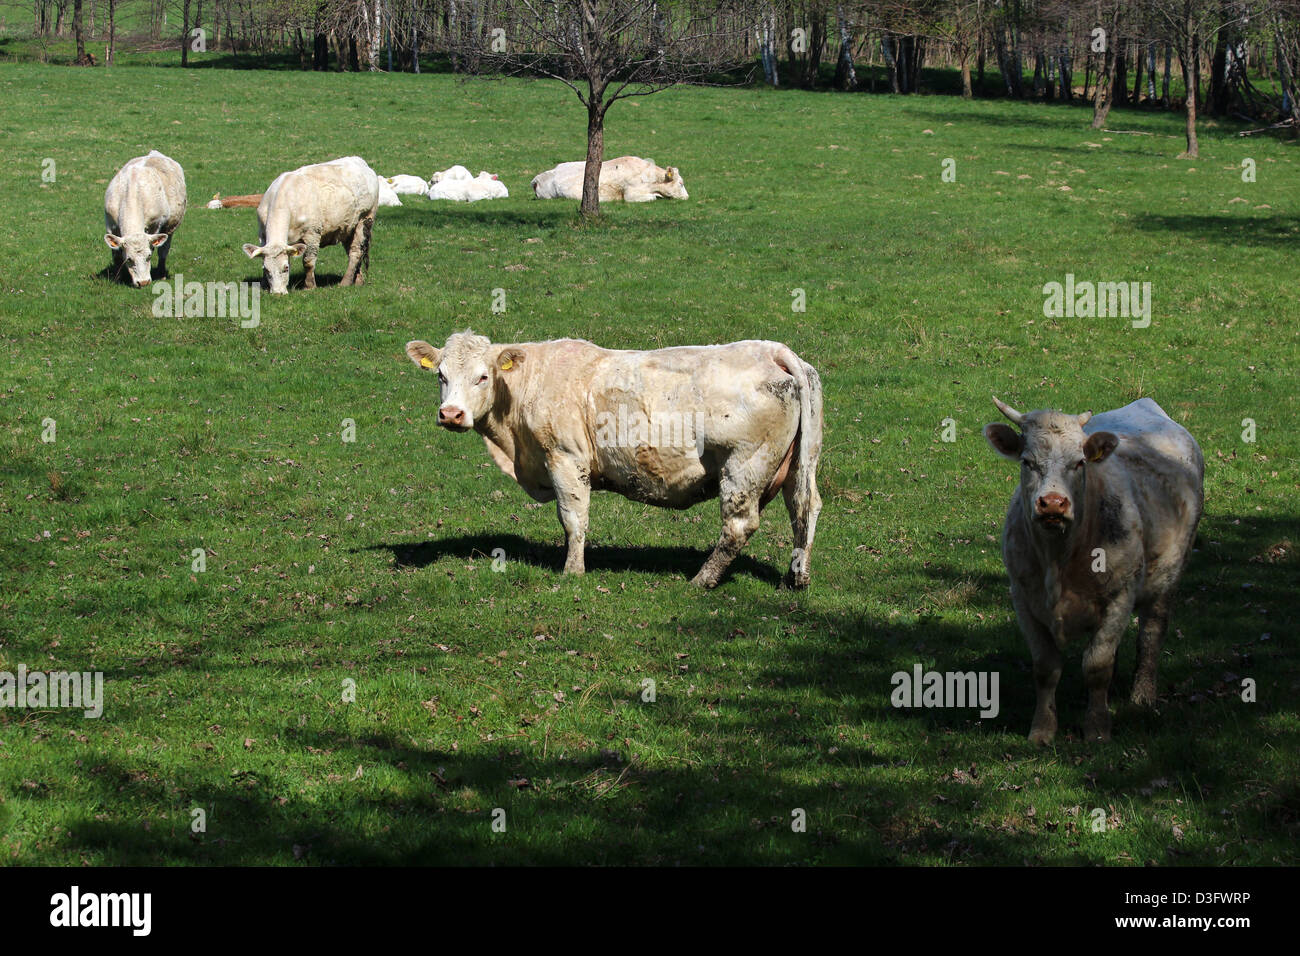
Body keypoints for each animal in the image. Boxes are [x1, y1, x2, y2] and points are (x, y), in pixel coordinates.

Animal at [104, 150, 186, 288]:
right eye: (129, 259)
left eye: (148, 256)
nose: (143, 282)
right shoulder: (111, 226)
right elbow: (116, 255)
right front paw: (118, 278)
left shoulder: (155, 225)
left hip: (169, 228)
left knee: (163, 250)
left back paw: (162, 273)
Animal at [242, 156, 379, 295]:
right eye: (266, 269)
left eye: (286, 268)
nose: (278, 293)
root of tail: (360, 161)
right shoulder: (262, 235)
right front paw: (264, 285)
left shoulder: (312, 234)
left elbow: (308, 261)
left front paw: (309, 286)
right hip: (348, 228)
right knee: (353, 251)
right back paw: (358, 280)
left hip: (364, 220)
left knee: (356, 252)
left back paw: (345, 283)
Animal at [404, 332, 823, 589]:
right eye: (441, 375)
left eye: (483, 377)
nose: (451, 414)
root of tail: (771, 349)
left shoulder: (565, 458)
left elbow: (574, 519)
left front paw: (572, 572)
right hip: (799, 463)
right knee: (805, 507)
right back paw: (796, 578)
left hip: (744, 466)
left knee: (739, 525)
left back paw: (702, 580)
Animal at [983, 396, 1204, 744]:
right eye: (1027, 462)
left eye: (1079, 463)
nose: (1053, 502)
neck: (1058, 560)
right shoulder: (1023, 598)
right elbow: (1046, 668)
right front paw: (1042, 730)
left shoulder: (1120, 596)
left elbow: (1097, 666)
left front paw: (1098, 728)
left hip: (1168, 580)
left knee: (1151, 635)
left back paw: (1142, 696)